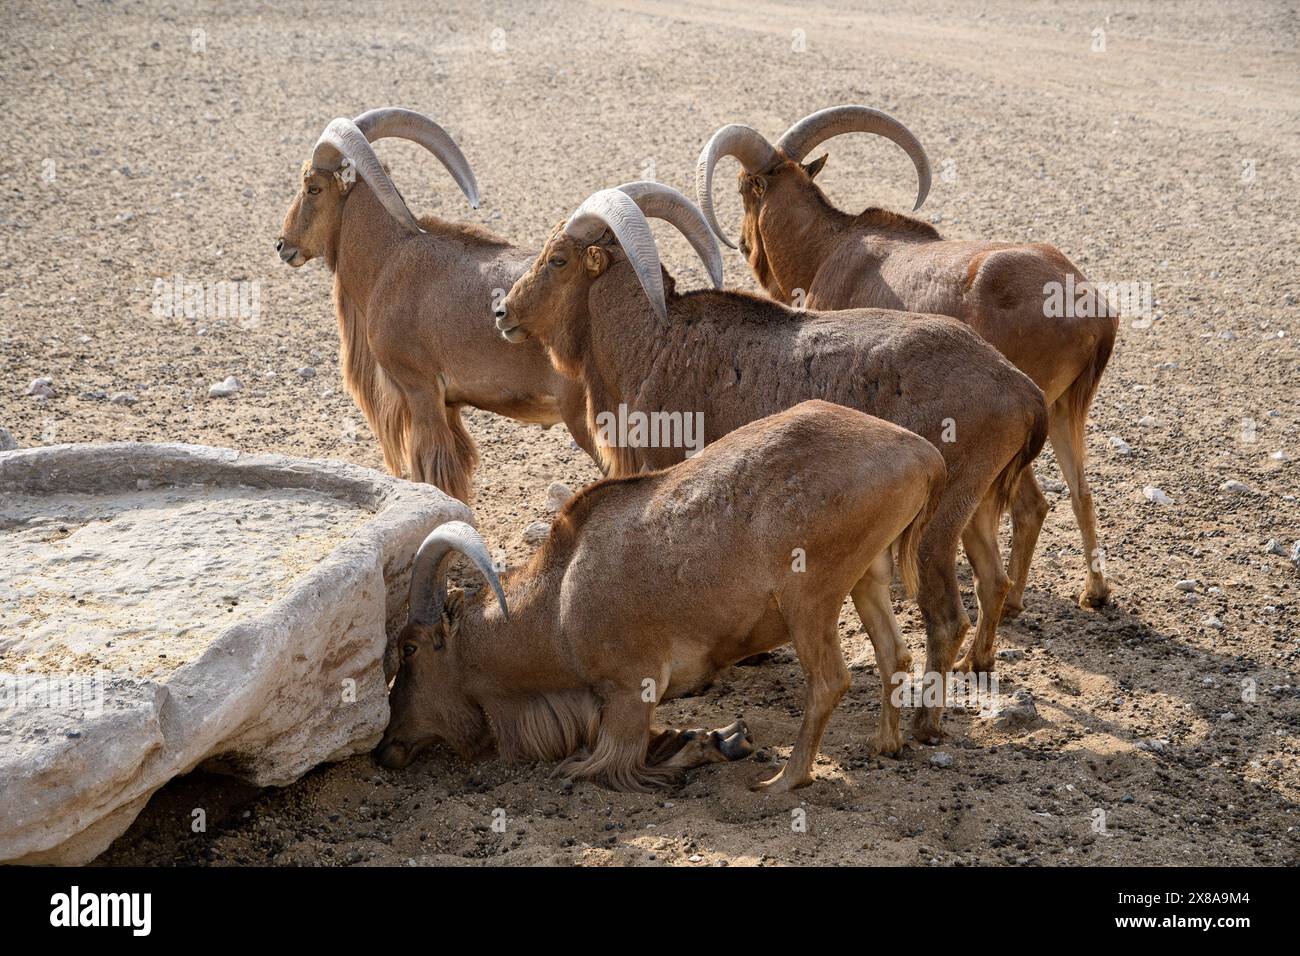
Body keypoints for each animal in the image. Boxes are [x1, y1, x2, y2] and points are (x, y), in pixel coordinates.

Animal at [275, 107, 598, 502]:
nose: (283, 245)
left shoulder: (420, 389)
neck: (390, 258)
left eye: (313, 187)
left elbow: (432, 468)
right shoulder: (449, 403)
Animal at [376, 400, 946, 792]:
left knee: (830, 679)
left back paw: (784, 780)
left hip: (811, 597)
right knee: (895, 653)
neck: (559, 603)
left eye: (409, 648)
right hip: (868, 577)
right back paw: (885, 742)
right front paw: (723, 737)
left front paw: (715, 742)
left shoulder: (629, 692)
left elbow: (602, 764)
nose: (386, 747)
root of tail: (921, 453)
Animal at [497, 183, 1049, 742]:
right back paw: (975, 665)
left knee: (947, 617)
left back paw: (923, 722)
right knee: (992, 581)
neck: (656, 345)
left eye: (558, 259)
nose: (503, 313)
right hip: (978, 505)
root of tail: (1018, 385)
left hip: (936, 524)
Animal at [696, 105, 1119, 613]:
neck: (827, 249)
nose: (741, 244)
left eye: (744, 188)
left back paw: (1016, 600)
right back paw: (1093, 592)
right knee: (1078, 494)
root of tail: (1093, 312)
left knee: (1031, 504)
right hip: (1062, 408)